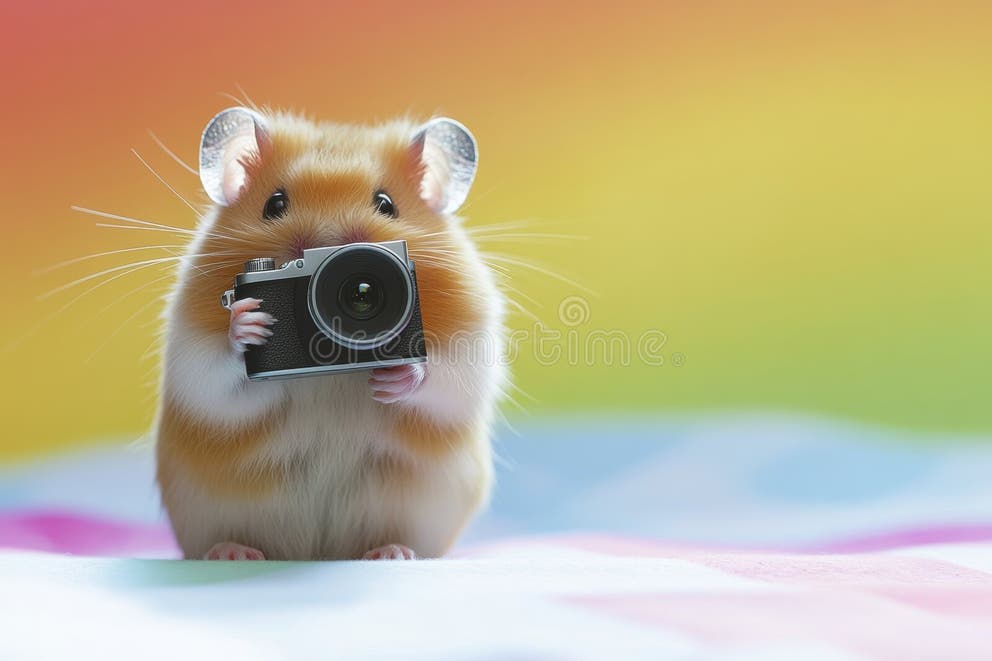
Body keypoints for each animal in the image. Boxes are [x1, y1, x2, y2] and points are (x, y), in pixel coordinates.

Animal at [154, 107, 506, 560]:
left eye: (386, 204)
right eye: (274, 204)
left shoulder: (472, 342)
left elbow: (447, 379)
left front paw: (395, 378)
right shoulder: (192, 354)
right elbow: (217, 381)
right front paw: (246, 325)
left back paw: (391, 552)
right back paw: (233, 553)